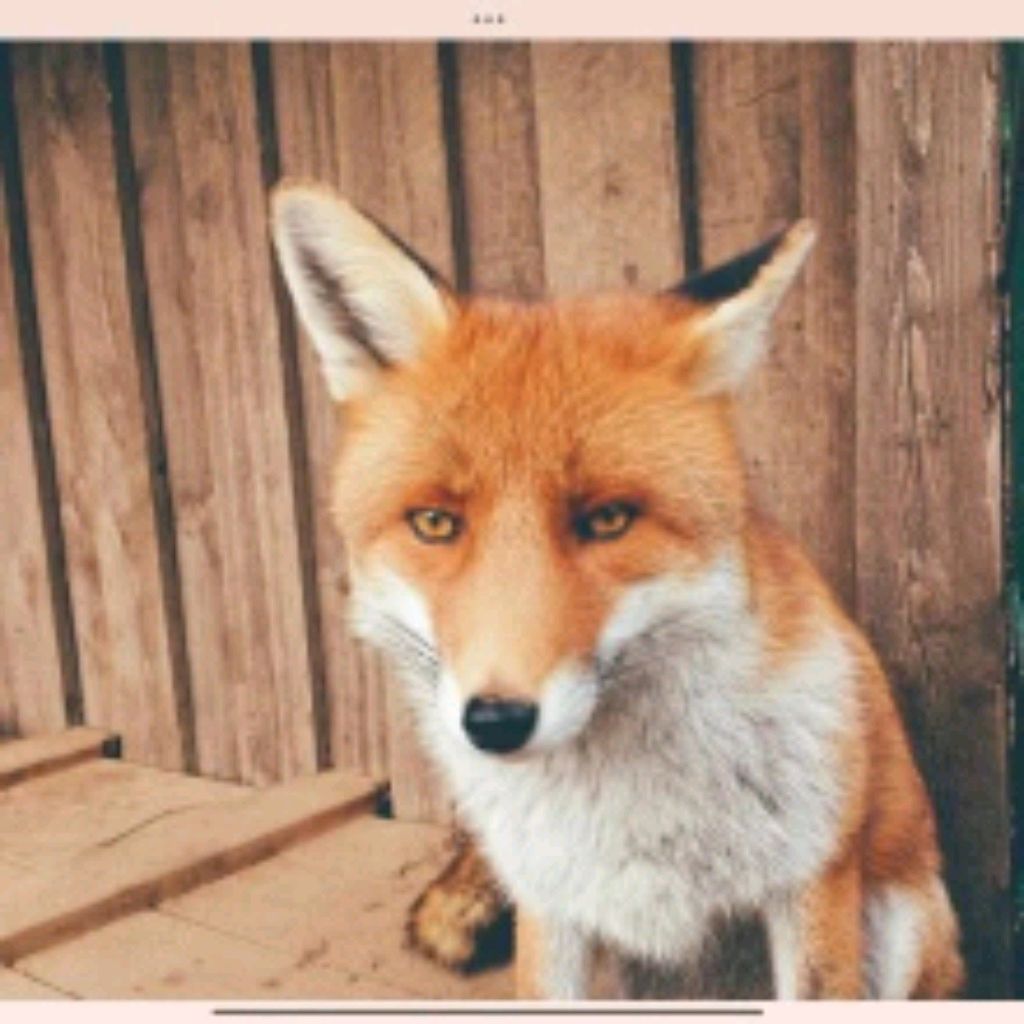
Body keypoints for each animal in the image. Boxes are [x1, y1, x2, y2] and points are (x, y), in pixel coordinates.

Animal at [269, 181, 964, 1000]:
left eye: (608, 519)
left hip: (904, 927)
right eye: (435, 523)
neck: (621, 811)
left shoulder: (811, 885)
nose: (497, 721)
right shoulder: (553, 907)